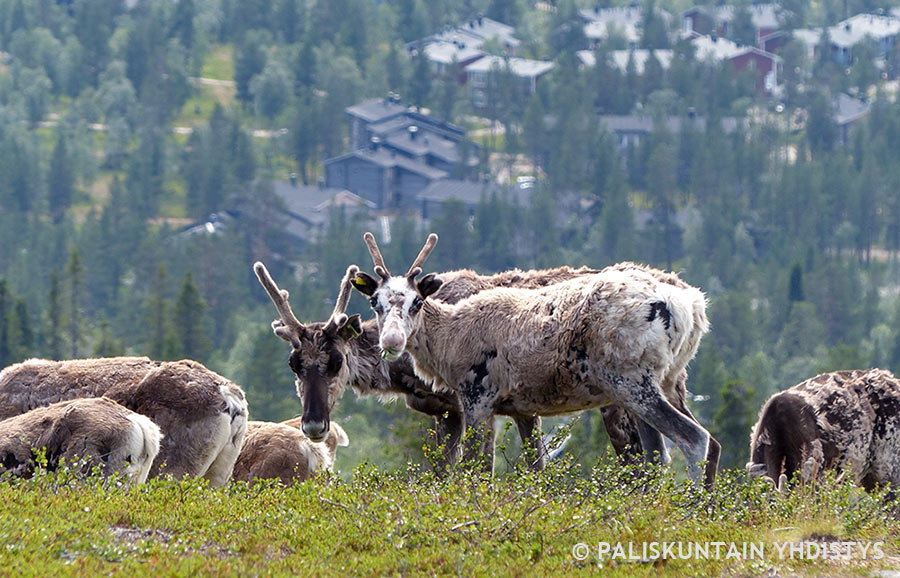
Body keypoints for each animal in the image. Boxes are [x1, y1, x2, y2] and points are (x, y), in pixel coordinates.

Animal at [352, 232, 718, 487]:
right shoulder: (522, 407)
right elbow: (535, 468)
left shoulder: (477, 398)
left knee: (693, 439)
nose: (392, 341)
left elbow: (475, 472)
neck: (447, 342)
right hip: (663, 382)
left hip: (630, 381)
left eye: (416, 302)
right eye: (374, 302)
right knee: (668, 452)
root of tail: (690, 306)